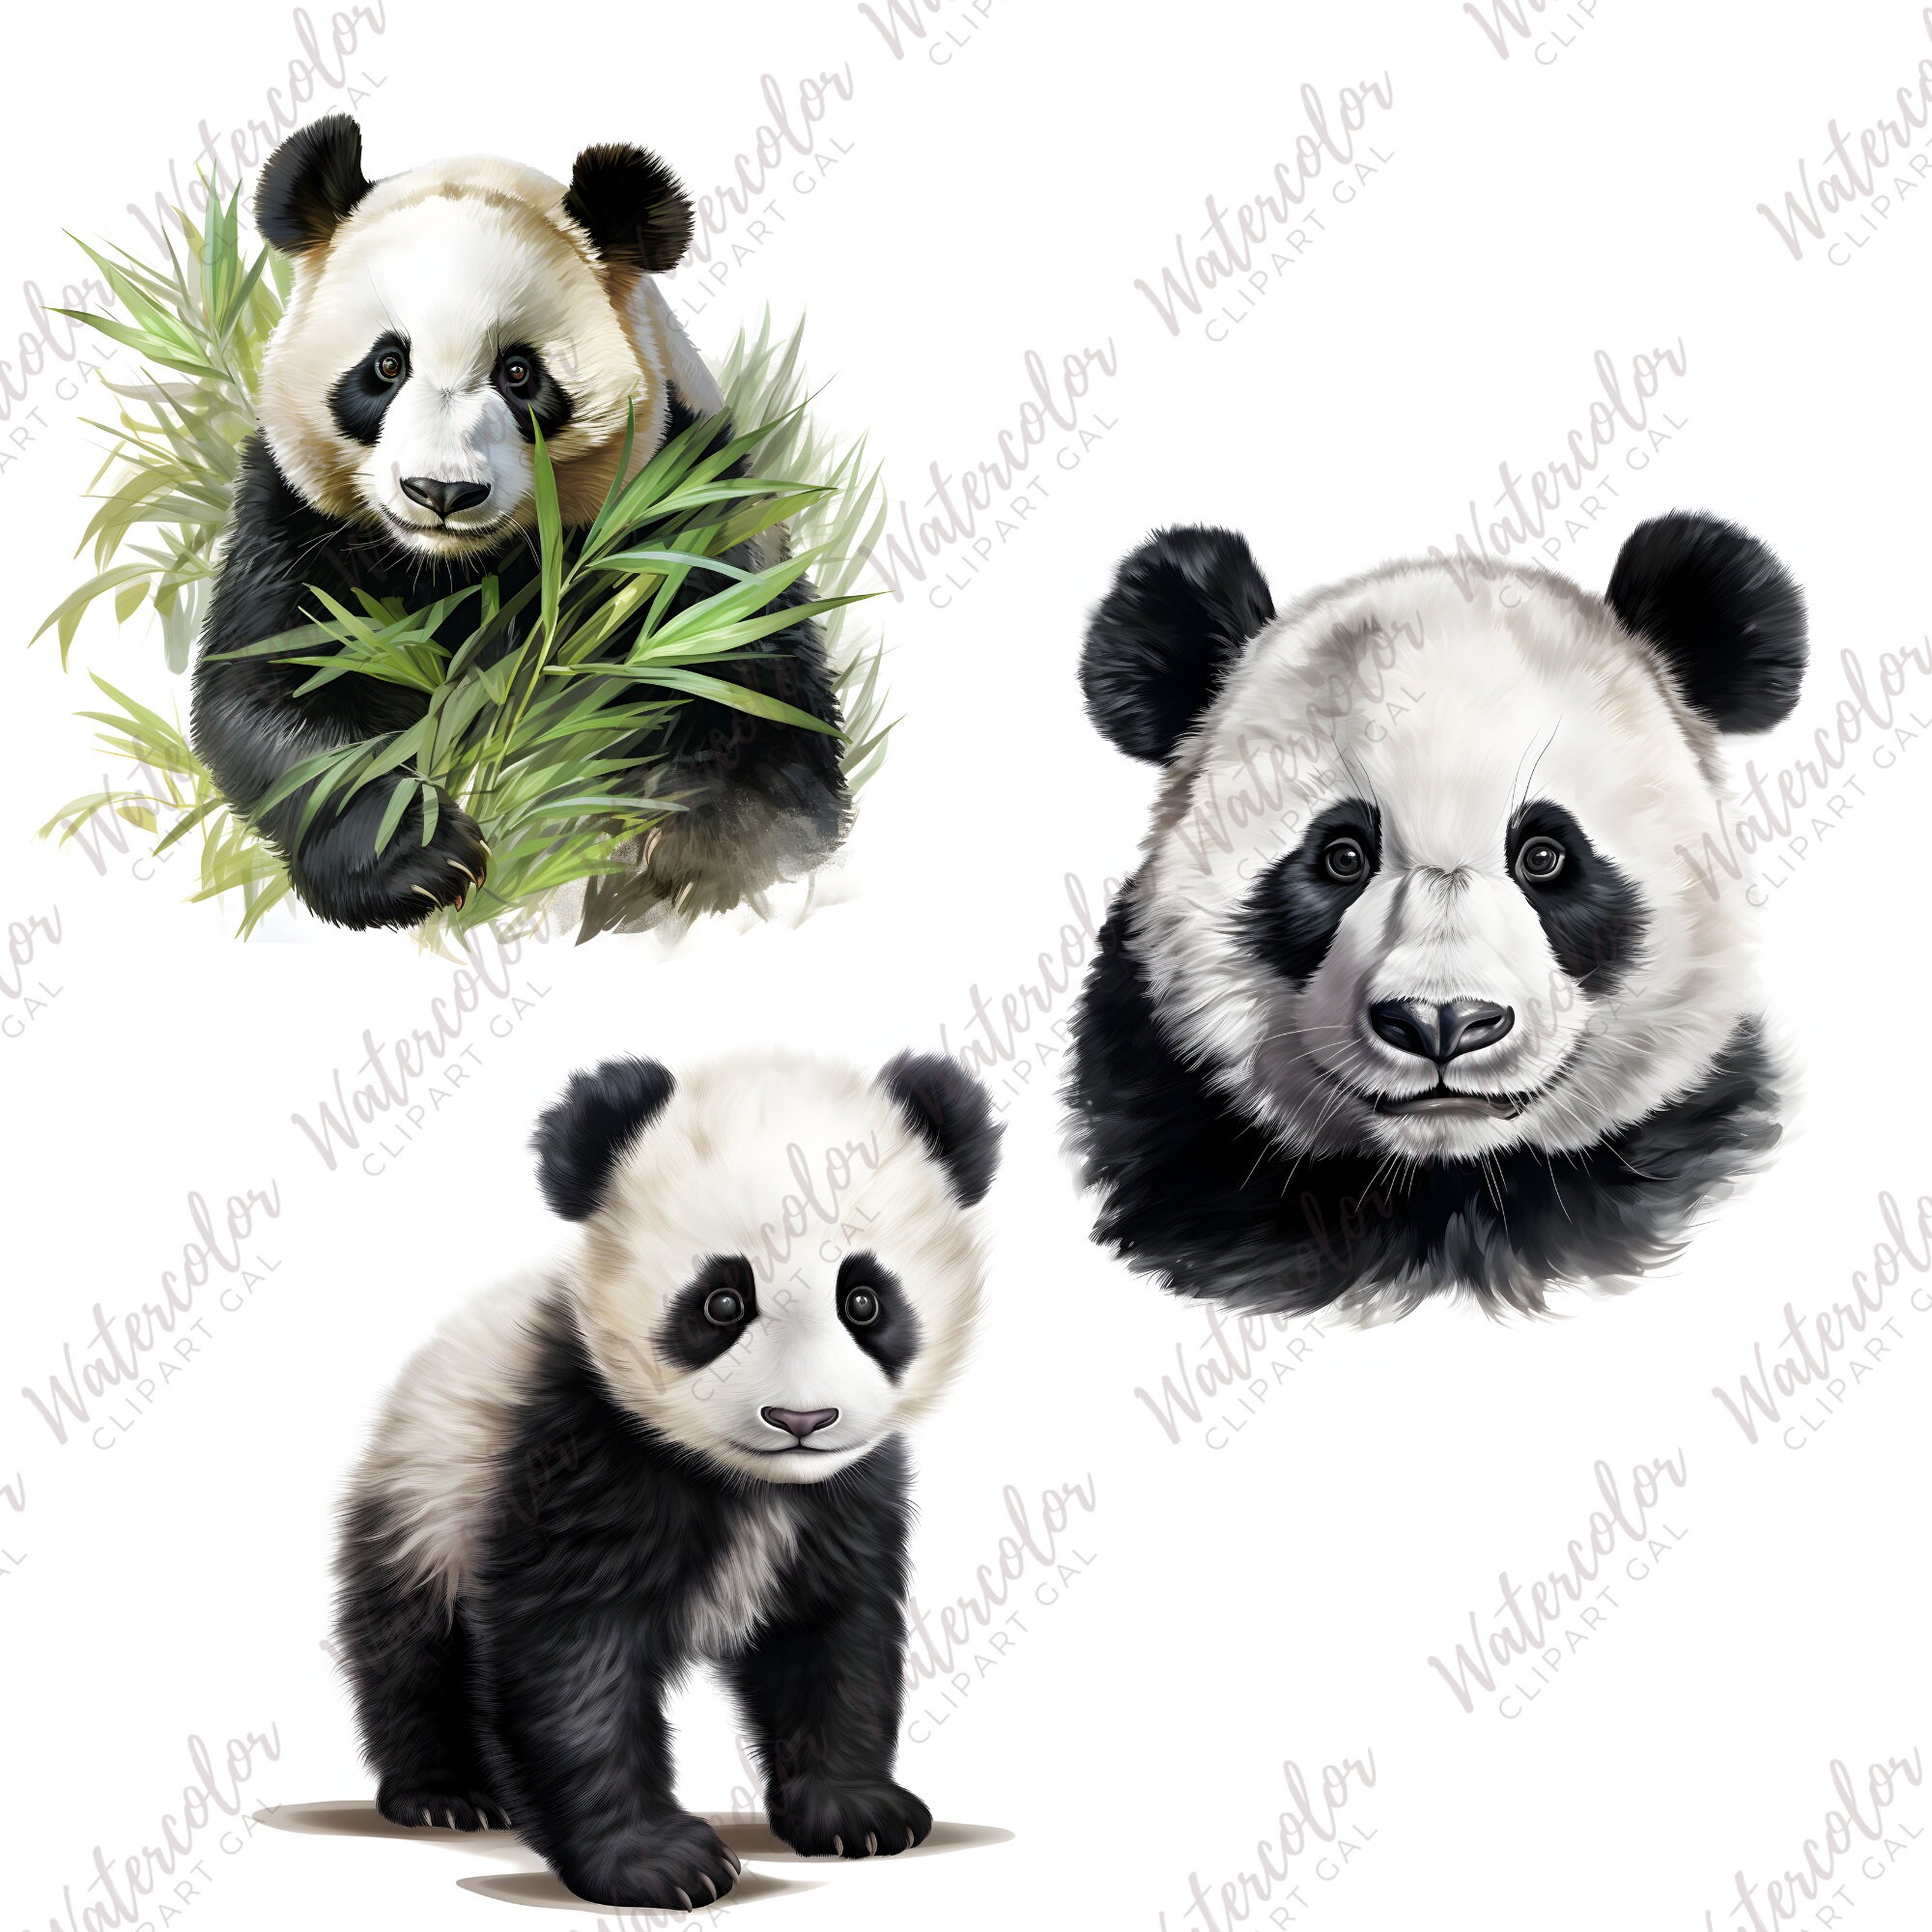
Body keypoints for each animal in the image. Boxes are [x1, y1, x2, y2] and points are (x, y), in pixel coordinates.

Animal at [191, 113, 847, 933]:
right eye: (386, 366)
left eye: (519, 372)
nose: (441, 491)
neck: (456, 564)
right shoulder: (297, 522)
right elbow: (277, 695)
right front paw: (419, 860)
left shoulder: (688, 510)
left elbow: (753, 694)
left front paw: (693, 853)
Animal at [333, 1049, 1000, 1911]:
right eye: (721, 1301)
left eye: (863, 1299)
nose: (802, 1418)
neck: (751, 1484)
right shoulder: (574, 1459)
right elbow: (572, 1659)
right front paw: (659, 1863)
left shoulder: (842, 1501)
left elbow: (836, 1638)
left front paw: (855, 1811)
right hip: (426, 1497)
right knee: (411, 1651)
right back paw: (445, 1794)